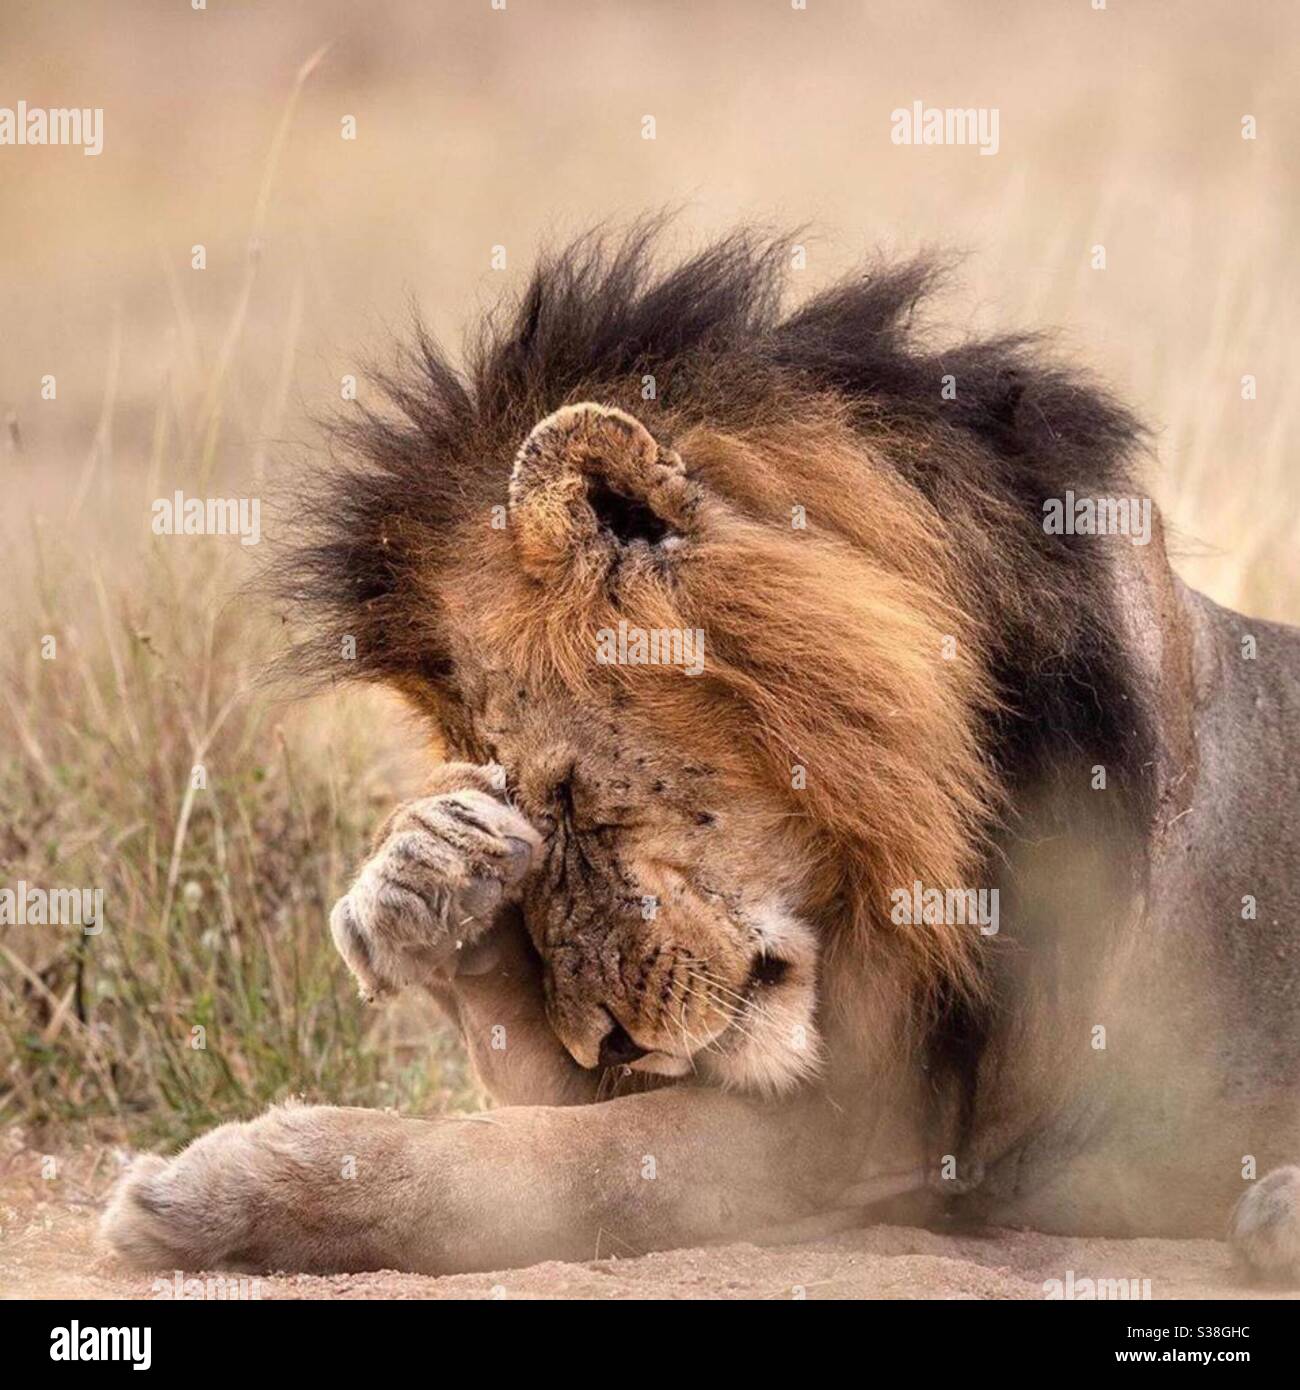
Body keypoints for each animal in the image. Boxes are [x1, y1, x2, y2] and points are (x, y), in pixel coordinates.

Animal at [102, 226, 1300, 1283]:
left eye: (574, 795)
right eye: (524, 808)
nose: (610, 1048)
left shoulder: (867, 1130)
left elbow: (532, 1172)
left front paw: (221, 1192)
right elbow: (535, 1108)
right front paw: (419, 873)